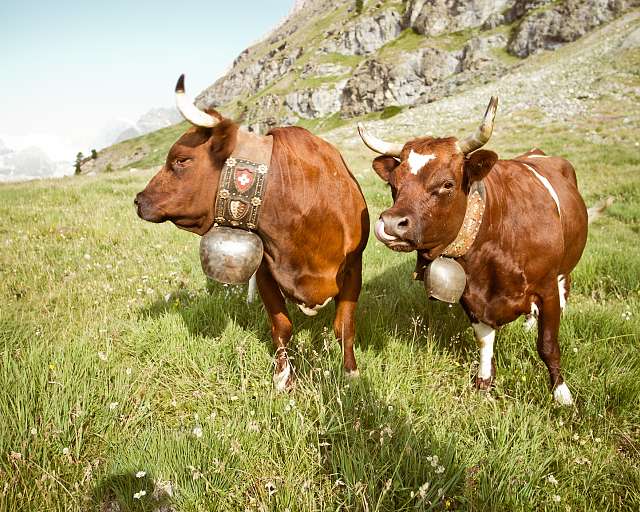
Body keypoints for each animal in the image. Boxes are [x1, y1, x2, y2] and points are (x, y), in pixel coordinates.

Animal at [135, 75, 369, 391]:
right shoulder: (265, 270)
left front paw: (350, 373)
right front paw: (283, 378)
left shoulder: (355, 265)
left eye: (181, 160)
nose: (139, 200)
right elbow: (281, 326)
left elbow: (344, 326)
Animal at [357, 97, 601, 405]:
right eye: (393, 185)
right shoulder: (471, 295)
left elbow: (547, 343)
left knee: (563, 288)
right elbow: (484, 339)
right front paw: (484, 381)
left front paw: (561, 393)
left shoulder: (545, 288)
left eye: (447, 184)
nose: (391, 223)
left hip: (565, 267)